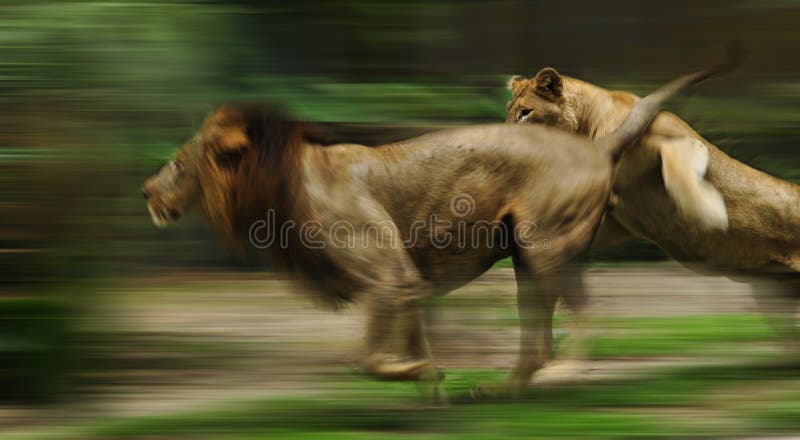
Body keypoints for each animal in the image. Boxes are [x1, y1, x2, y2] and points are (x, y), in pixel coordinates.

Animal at [142, 65, 723, 398]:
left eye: (178, 164)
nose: (146, 191)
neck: (281, 184)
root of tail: (596, 146)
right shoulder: (407, 283)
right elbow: (409, 337)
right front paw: (432, 385)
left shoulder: (389, 274)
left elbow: (370, 359)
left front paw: (419, 373)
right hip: (525, 260)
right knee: (536, 338)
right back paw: (506, 390)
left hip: (547, 246)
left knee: (590, 314)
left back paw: (560, 376)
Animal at [506, 66, 800, 369]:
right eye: (511, 111)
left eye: (525, 112)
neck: (587, 128)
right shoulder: (613, 220)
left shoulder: (675, 138)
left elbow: (678, 159)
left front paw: (707, 210)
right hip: (769, 296)